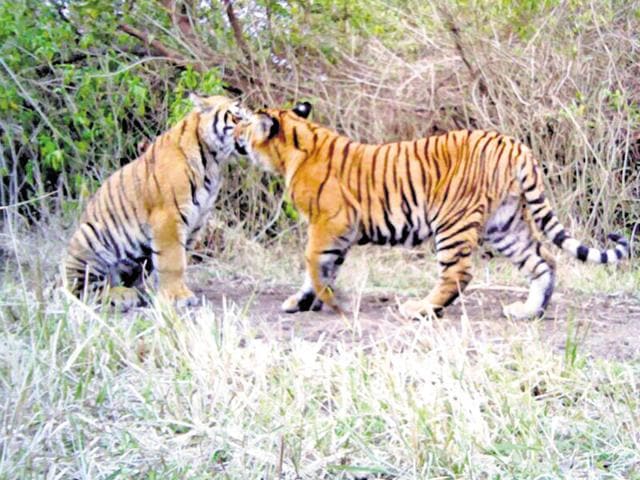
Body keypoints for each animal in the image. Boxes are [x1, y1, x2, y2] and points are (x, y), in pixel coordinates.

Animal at [64, 94, 249, 310]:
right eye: (237, 118)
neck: (213, 161)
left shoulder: (197, 220)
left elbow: (181, 257)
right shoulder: (168, 217)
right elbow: (174, 260)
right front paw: (178, 297)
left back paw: (142, 293)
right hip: (89, 236)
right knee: (83, 290)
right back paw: (122, 295)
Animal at [233, 102, 629, 320]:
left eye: (244, 124)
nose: (234, 132)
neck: (295, 145)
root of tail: (513, 144)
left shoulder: (328, 223)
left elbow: (313, 262)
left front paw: (319, 301)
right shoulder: (337, 232)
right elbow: (324, 267)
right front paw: (308, 301)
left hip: (453, 221)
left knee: (458, 273)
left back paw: (420, 309)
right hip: (506, 224)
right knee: (543, 260)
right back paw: (528, 312)